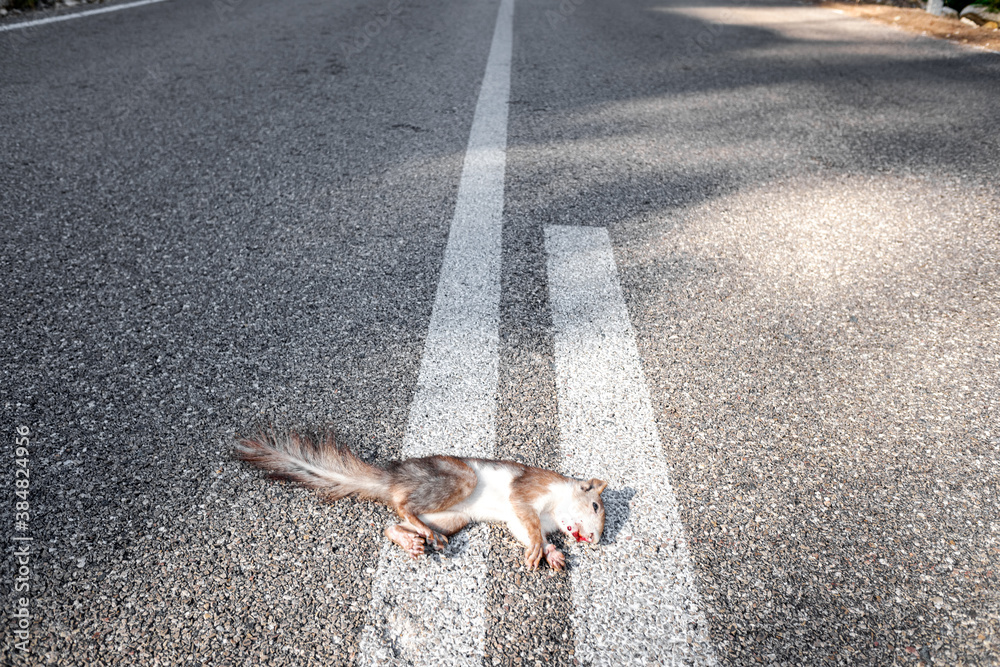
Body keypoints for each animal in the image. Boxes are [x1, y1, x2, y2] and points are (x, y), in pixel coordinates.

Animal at [235, 428, 607, 571]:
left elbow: (528, 531)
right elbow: (527, 522)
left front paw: (552, 553)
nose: (593, 538)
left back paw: (409, 539)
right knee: (404, 507)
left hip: (455, 517)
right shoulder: (529, 490)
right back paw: (419, 532)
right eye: (595, 506)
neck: (554, 511)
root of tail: (394, 480)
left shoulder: (521, 519)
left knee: (392, 522)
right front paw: (537, 551)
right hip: (459, 479)